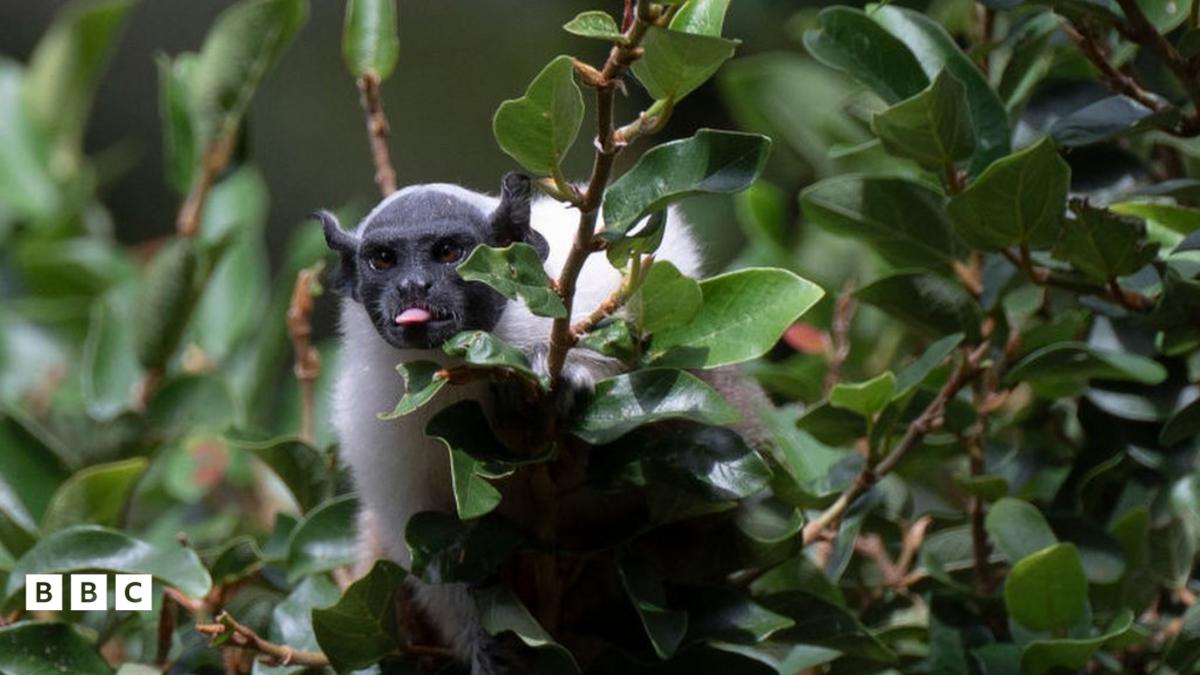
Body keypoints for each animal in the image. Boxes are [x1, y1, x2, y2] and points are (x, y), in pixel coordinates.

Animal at [317, 173, 771, 673]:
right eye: (383, 260)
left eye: (448, 252)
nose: (412, 286)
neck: (462, 360)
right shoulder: (372, 420)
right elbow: (426, 547)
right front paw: (485, 648)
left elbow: (655, 285)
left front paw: (570, 374)